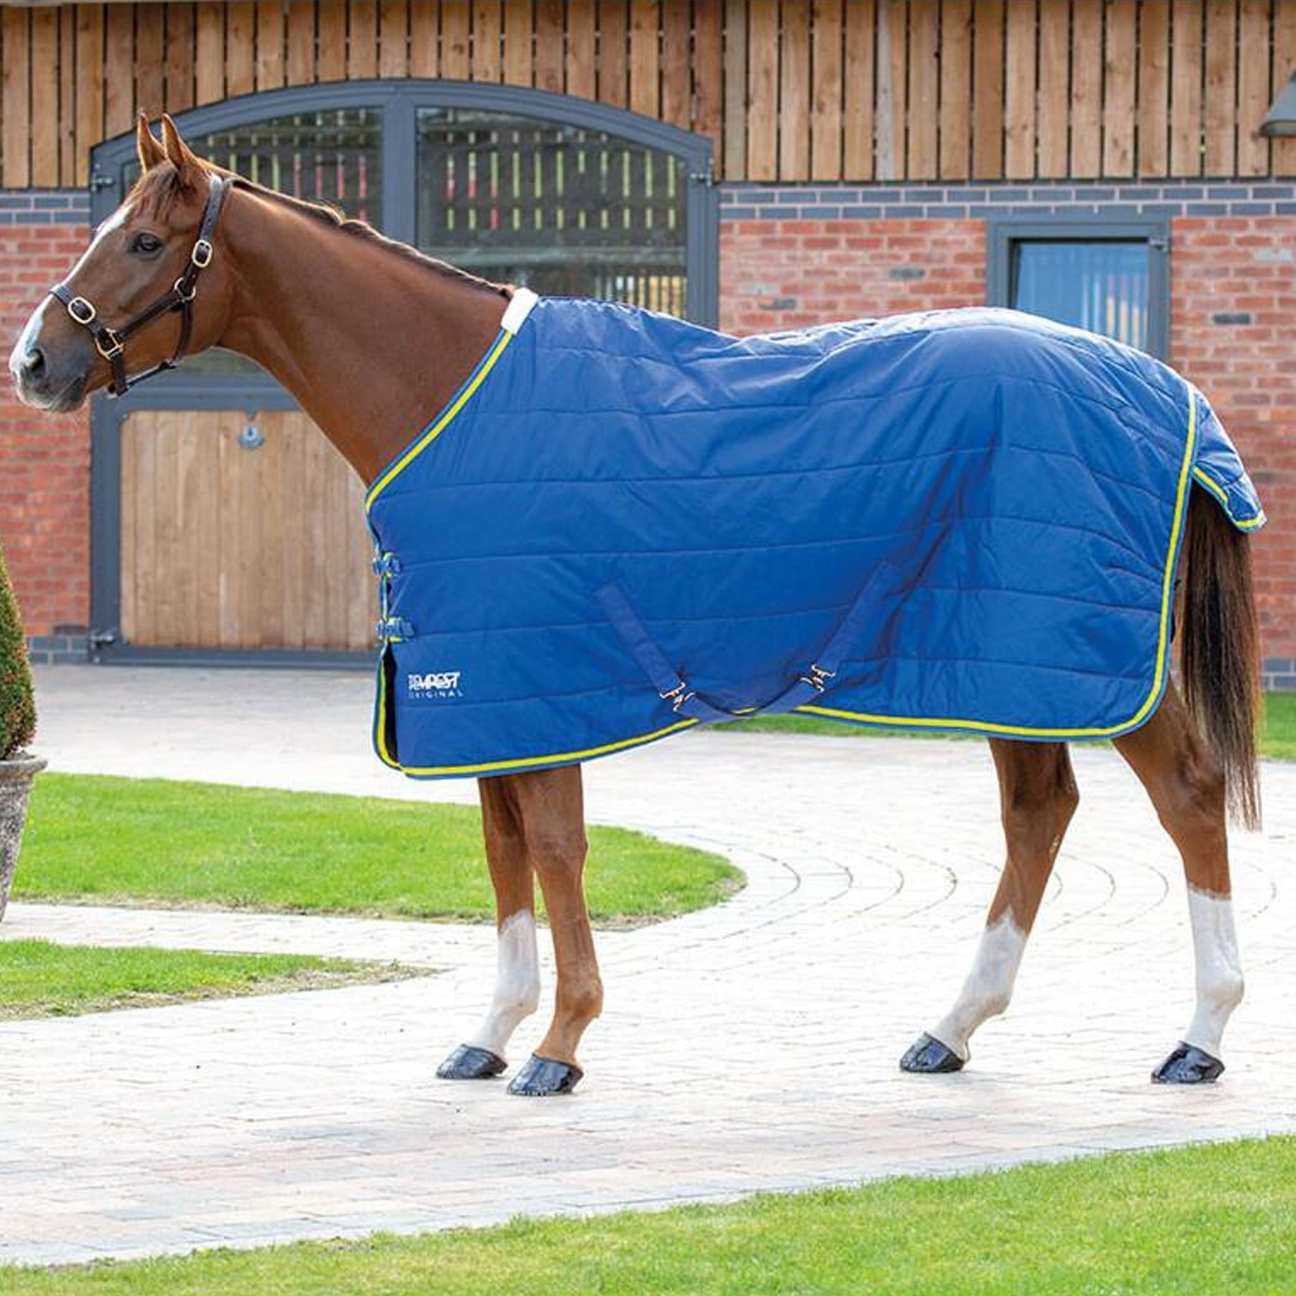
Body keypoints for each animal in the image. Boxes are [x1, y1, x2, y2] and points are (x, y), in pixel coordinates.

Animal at [9, 114, 1263, 1097]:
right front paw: (490, 1034)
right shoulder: (482, 691)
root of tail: (1161, 387)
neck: (452, 393)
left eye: (144, 241)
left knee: (1189, 795)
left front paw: (559, 1045)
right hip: (1008, 663)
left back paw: (1199, 1036)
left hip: (1090, 664)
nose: (34, 361)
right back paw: (949, 1031)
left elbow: (556, 848)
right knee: (1039, 814)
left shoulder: (542, 678)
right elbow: (502, 846)